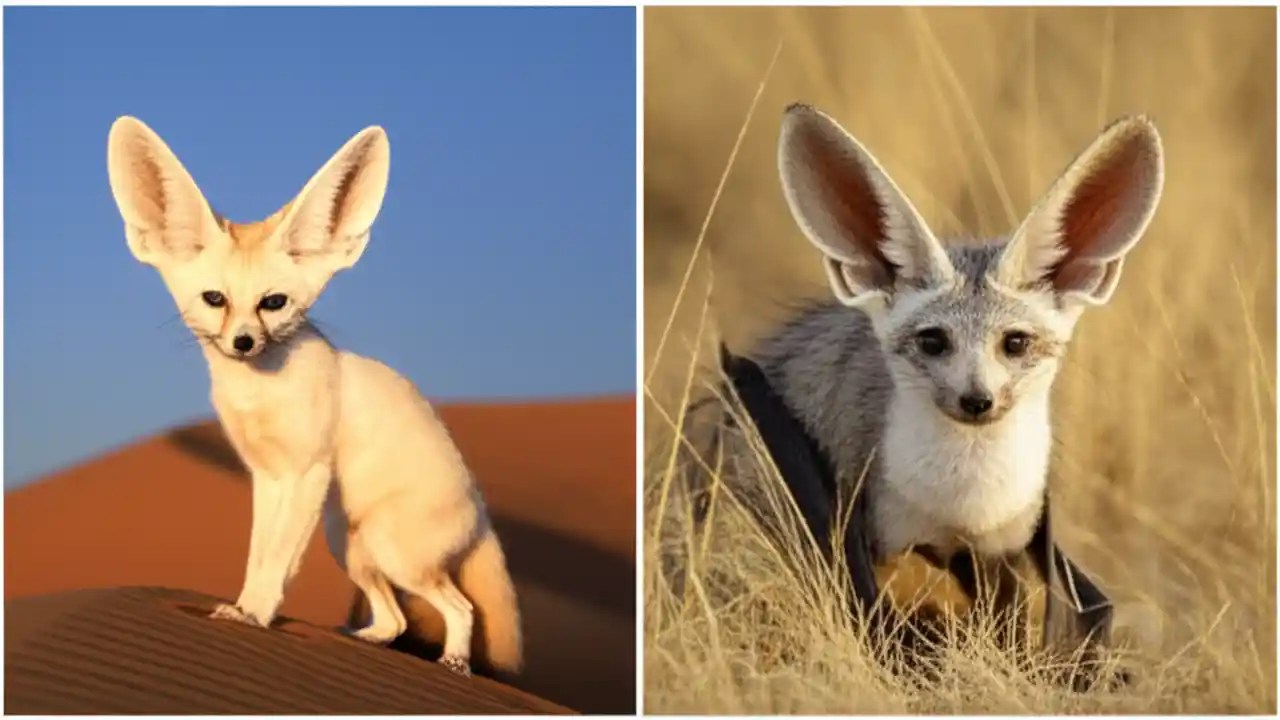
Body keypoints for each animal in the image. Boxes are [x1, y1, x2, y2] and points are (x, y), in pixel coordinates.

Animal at [106, 116, 522, 677]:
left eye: (274, 303)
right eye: (215, 299)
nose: (243, 342)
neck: (259, 394)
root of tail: (480, 512)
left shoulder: (307, 473)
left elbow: (279, 559)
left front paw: (255, 616)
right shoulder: (265, 476)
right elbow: (259, 556)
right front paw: (243, 607)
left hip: (389, 552)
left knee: (460, 606)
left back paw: (455, 661)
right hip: (349, 545)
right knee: (396, 620)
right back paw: (365, 637)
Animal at [683, 104, 1163, 685]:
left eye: (1015, 343)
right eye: (933, 341)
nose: (976, 401)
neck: (961, 503)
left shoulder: (1011, 547)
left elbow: (1045, 623)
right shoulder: (868, 534)